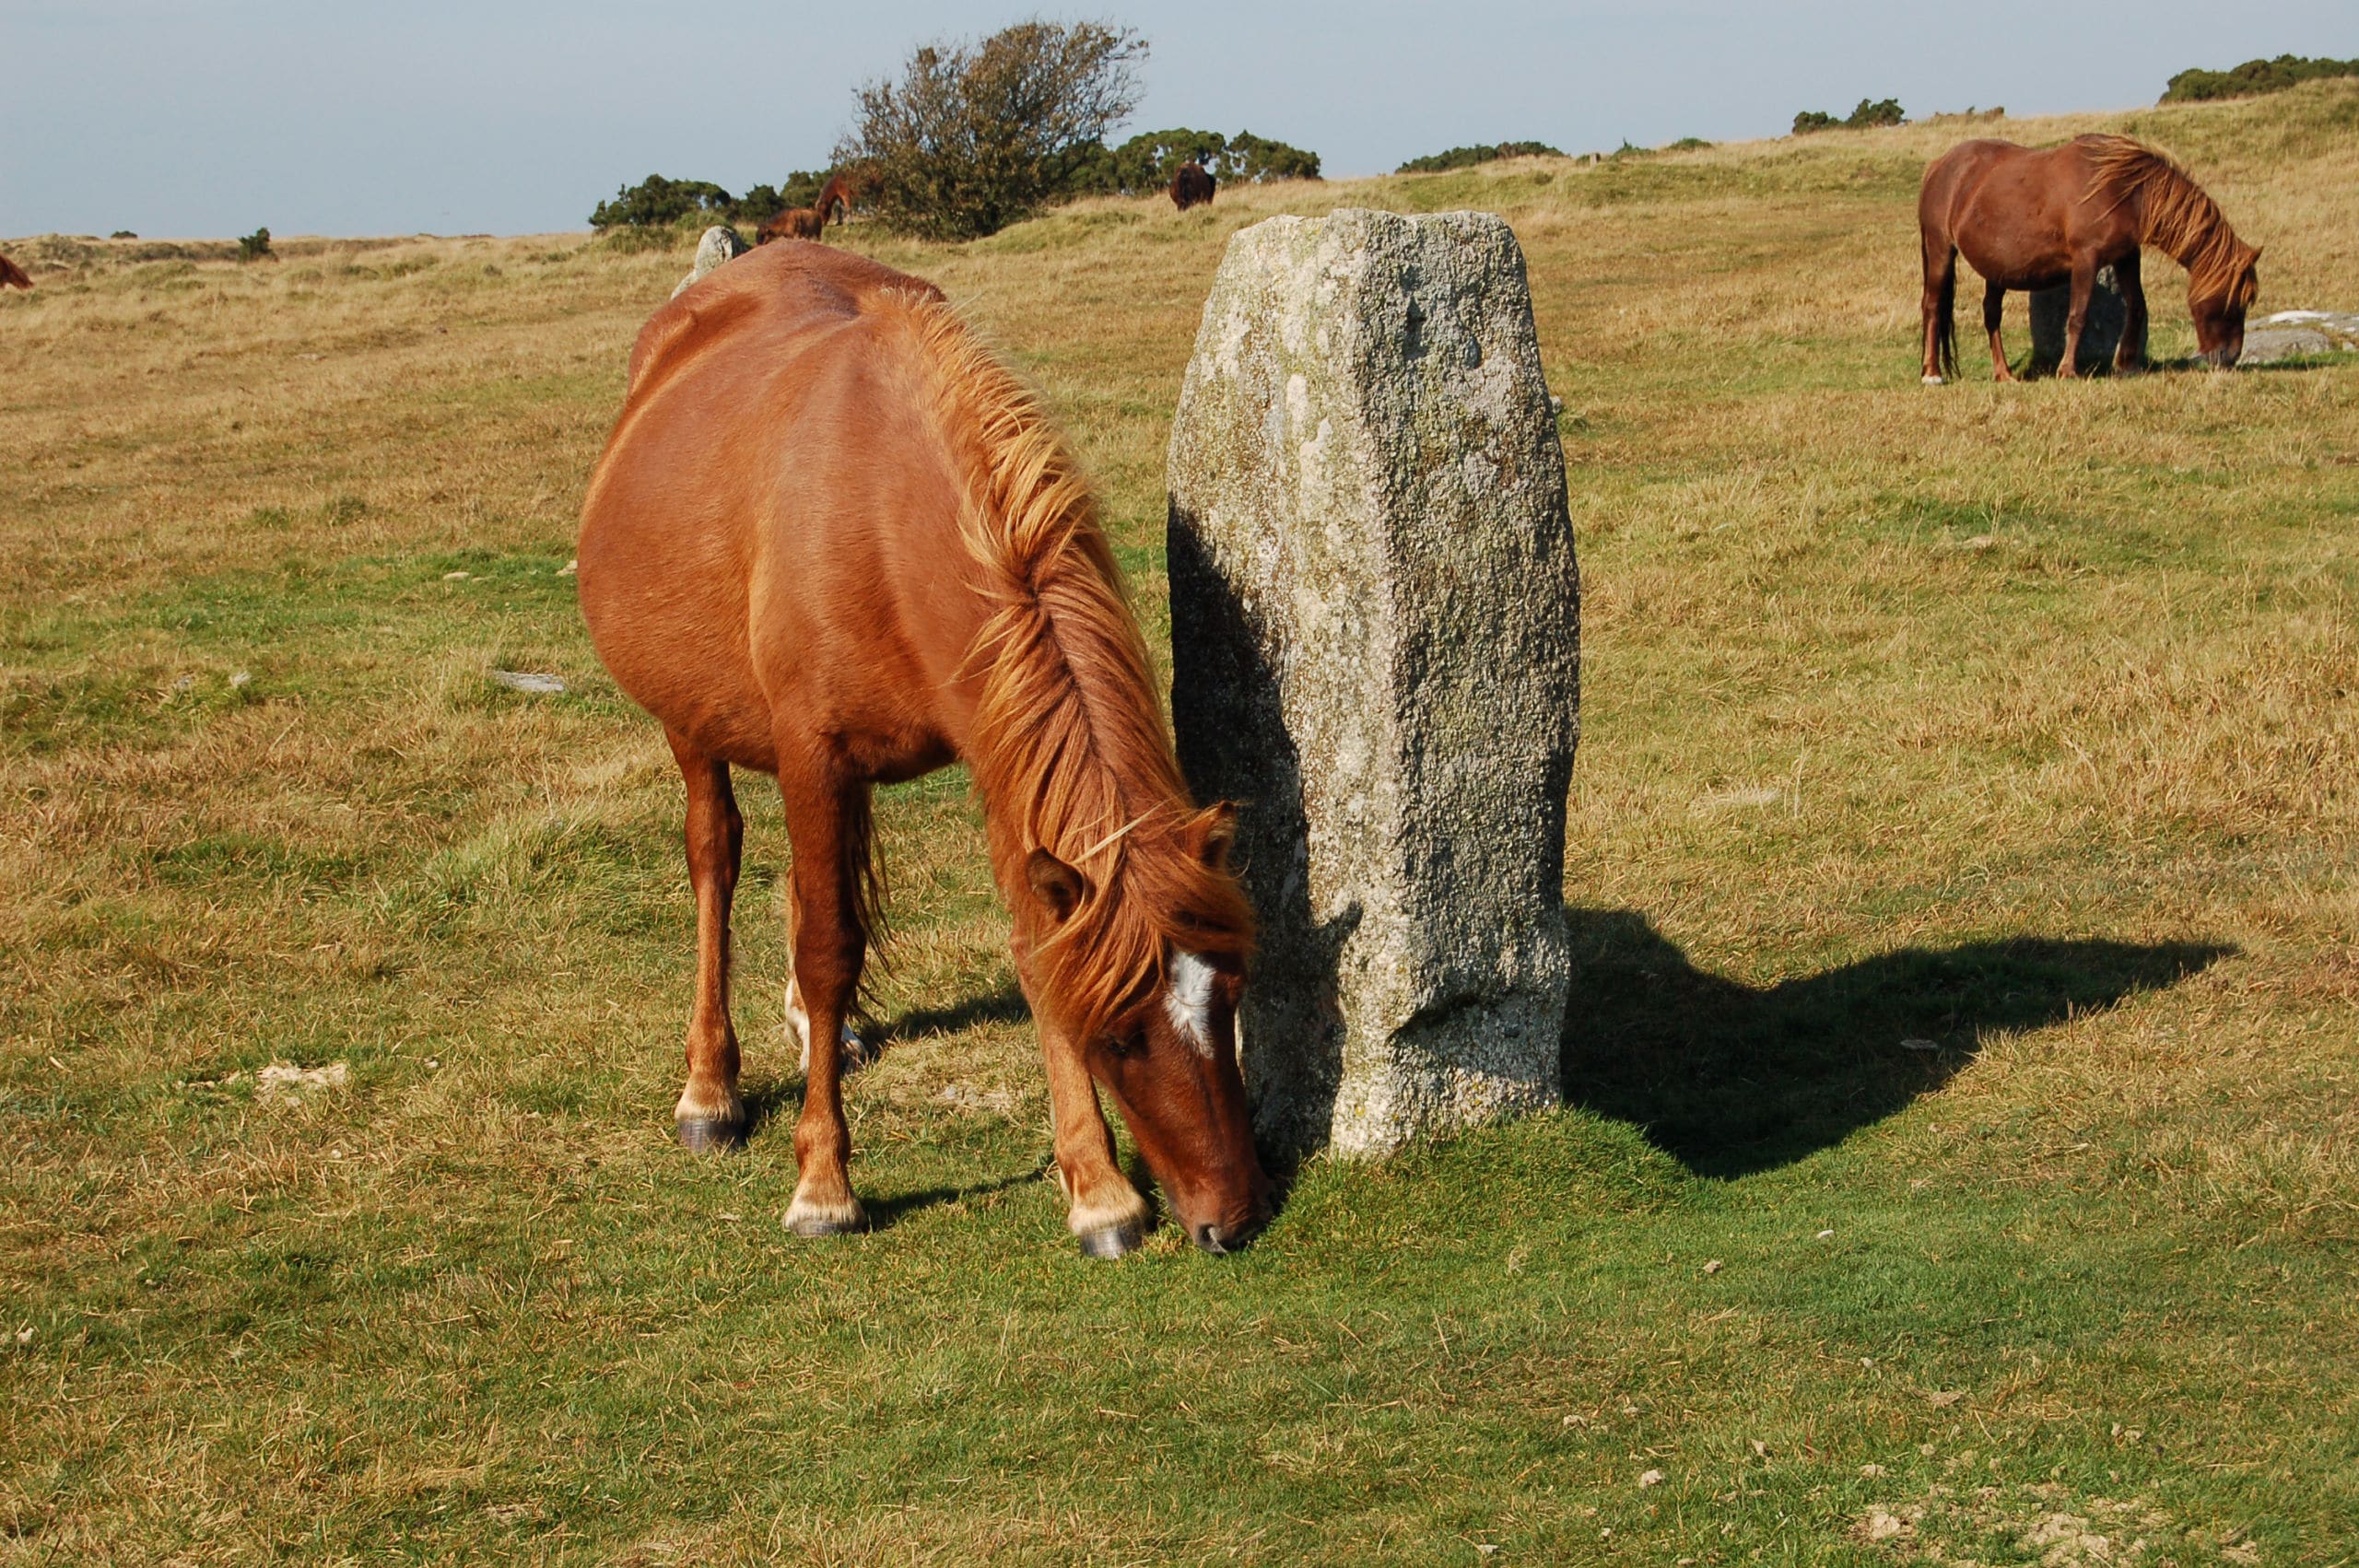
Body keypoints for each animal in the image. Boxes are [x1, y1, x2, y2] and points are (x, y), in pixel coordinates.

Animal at [577, 240, 1271, 1259]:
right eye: (1120, 1035)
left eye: (1226, 996)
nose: (1234, 1216)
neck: (882, 509)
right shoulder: (812, 752)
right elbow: (829, 948)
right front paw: (824, 1185)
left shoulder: (994, 757)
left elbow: (1022, 944)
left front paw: (1098, 1190)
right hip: (689, 724)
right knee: (717, 859)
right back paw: (709, 1089)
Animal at [1918, 134, 2260, 382]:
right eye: (2234, 300)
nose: (2229, 356)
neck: (2123, 190)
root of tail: (1938, 165)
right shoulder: (2086, 258)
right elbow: (2078, 315)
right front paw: (2067, 370)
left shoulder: (2126, 257)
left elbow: (2137, 306)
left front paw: (2126, 364)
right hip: (1940, 250)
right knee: (1933, 306)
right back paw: (1932, 374)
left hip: (1996, 269)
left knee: (1991, 315)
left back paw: (2004, 374)